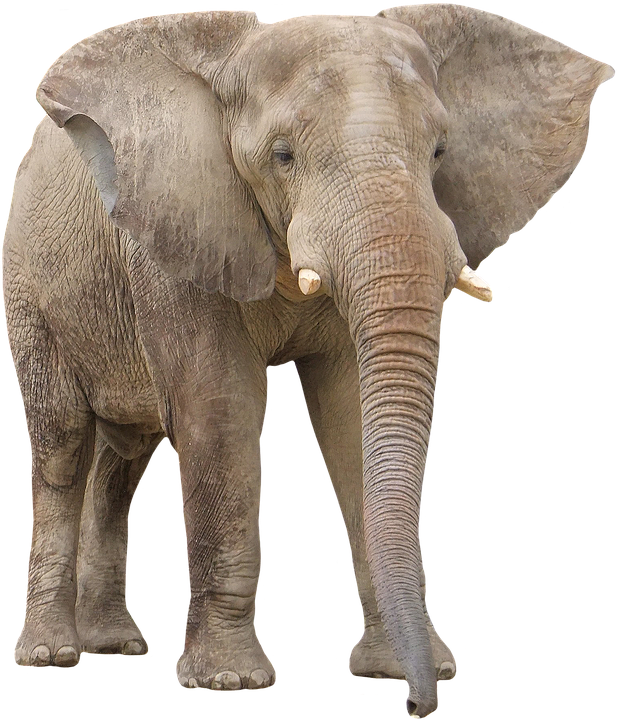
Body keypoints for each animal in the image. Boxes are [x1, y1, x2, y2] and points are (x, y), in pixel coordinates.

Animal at [3, 6, 613, 717]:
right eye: (282, 156)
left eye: (439, 152)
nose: (419, 705)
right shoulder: (176, 242)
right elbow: (220, 410)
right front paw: (229, 682)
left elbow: (351, 416)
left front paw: (394, 670)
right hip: (29, 288)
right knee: (65, 442)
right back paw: (51, 654)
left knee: (123, 456)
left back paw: (116, 645)